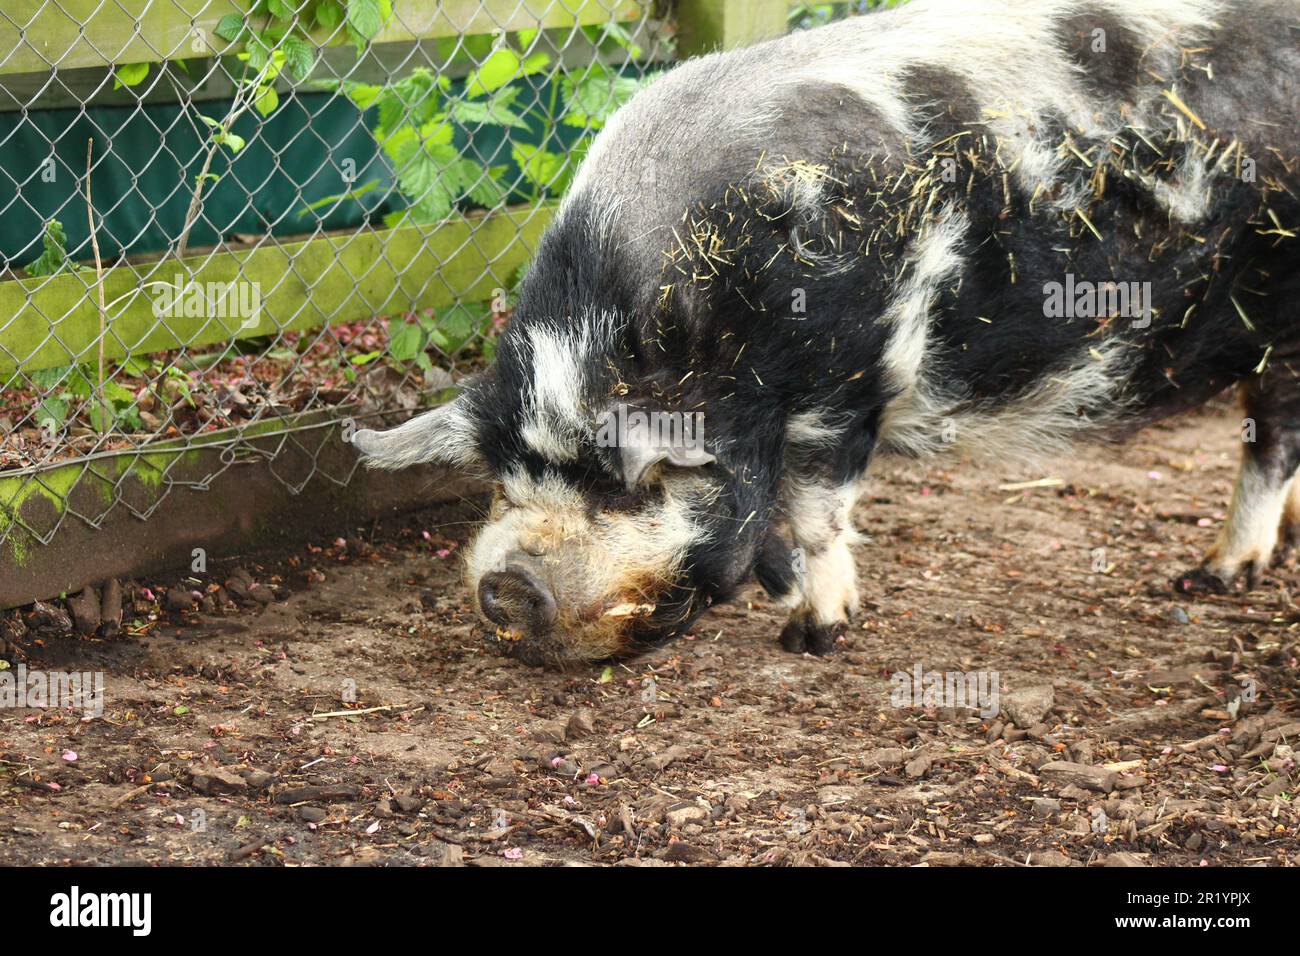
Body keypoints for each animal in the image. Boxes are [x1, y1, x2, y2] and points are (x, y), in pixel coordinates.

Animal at [353, 0, 1299, 667]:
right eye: (505, 482)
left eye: (633, 488)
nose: (507, 587)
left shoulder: (851, 377)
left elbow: (817, 511)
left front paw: (814, 634)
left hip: (1284, 326)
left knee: (1271, 440)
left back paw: (1215, 576)